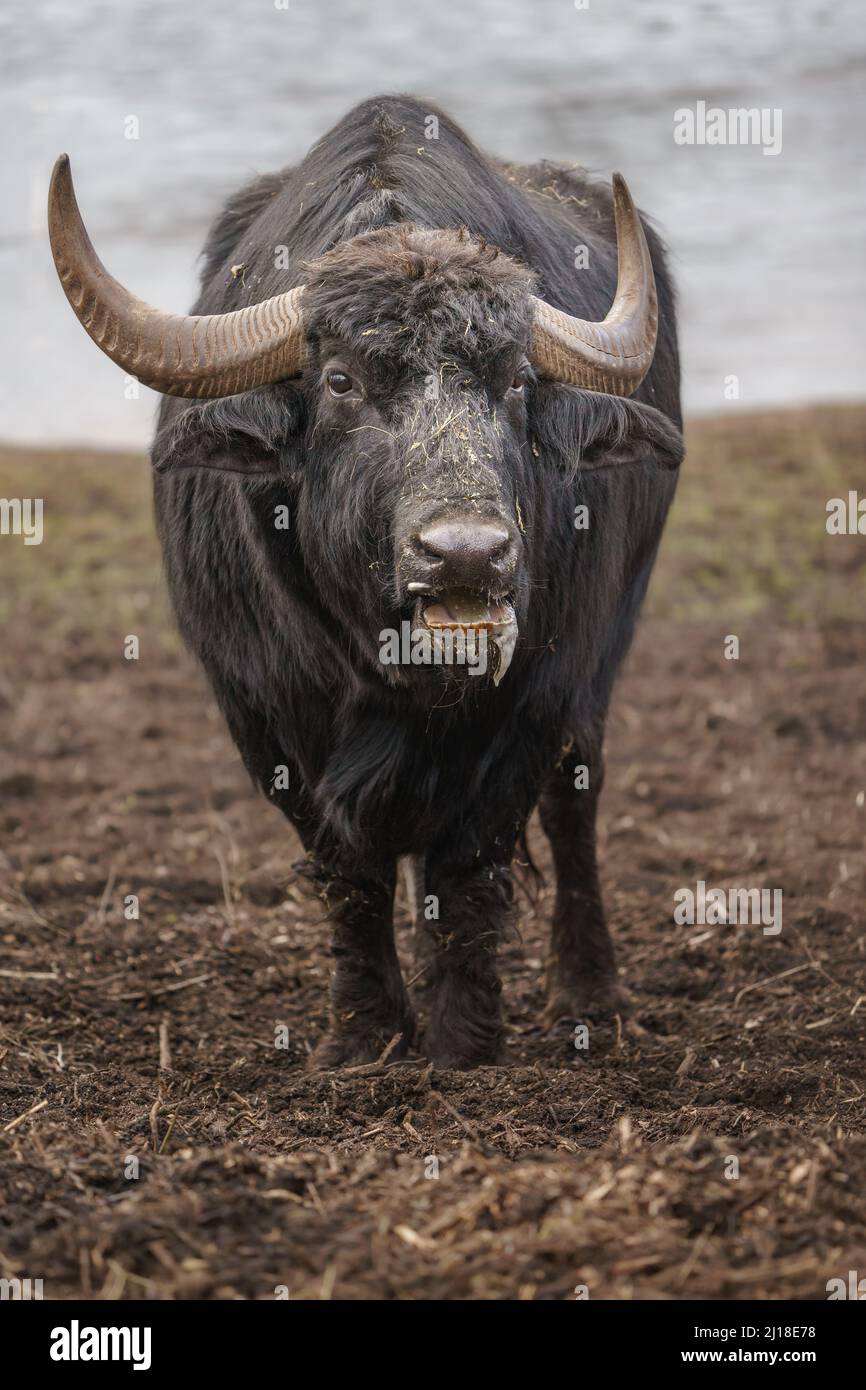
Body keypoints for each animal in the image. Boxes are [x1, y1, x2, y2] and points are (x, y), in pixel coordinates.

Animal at [48, 94, 683, 1068]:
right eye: (342, 380)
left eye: (517, 382)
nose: (467, 554)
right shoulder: (264, 714)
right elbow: (350, 873)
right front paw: (365, 1036)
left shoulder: (535, 698)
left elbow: (471, 862)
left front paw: (462, 1040)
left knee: (576, 801)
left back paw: (589, 992)